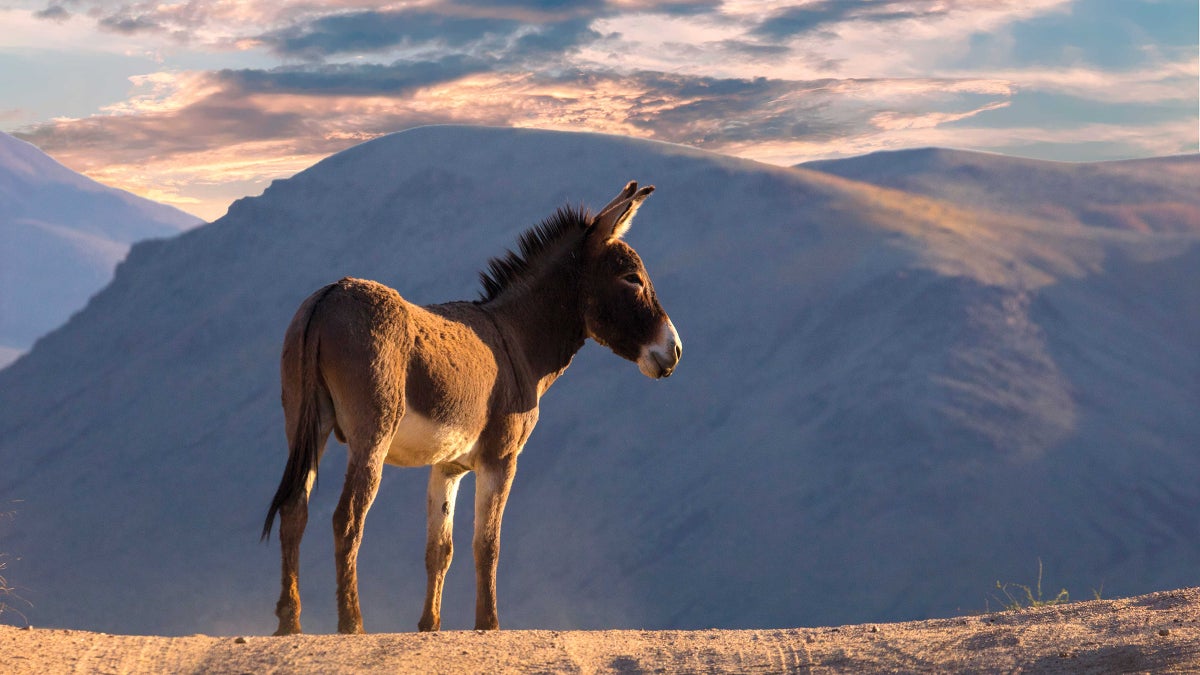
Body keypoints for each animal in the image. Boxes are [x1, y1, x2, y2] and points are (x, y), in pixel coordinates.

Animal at [261, 181, 681, 635]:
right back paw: (352, 624)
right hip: (371, 435)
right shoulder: (501, 457)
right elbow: (488, 543)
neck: (517, 339)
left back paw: (289, 623)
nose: (675, 351)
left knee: (294, 510)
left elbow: (440, 549)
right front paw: (488, 624)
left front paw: (429, 627)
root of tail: (328, 297)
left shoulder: (448, 466)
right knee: (347, 518)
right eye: (632, 279)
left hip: (305, 423)